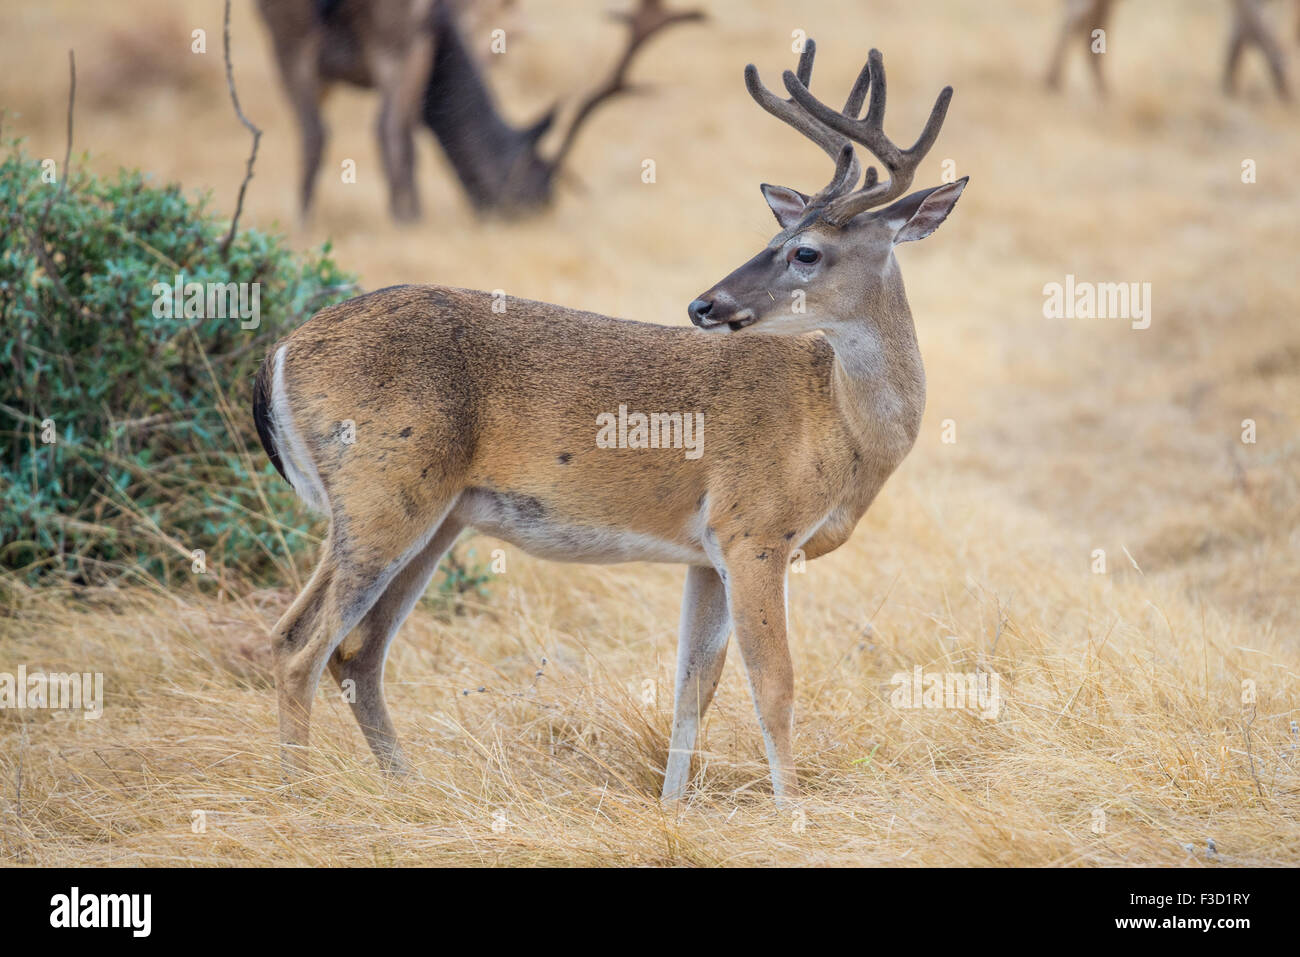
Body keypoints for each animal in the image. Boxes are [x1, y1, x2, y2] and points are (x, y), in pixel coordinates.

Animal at [252, 39, 966, 806]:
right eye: (783, 235)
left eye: (806, 251)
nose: (705, 305)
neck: (836, 425)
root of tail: (281, 352)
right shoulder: (755, 532)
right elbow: (773, 686)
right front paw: (790, 812)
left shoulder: (707, 553)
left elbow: (693, 687)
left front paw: (673, 808)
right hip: (381, 495)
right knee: (299, 644)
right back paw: (298, 798)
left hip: (436, 516)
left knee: (358, 652)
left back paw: (407, 787)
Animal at [1045, 0, 1294, 99]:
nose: (1288, 95)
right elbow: (1247, 34)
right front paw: (1229, 89)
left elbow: (1240, 36)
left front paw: (1228, 88)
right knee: (1078, 20)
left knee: (1085, 26)